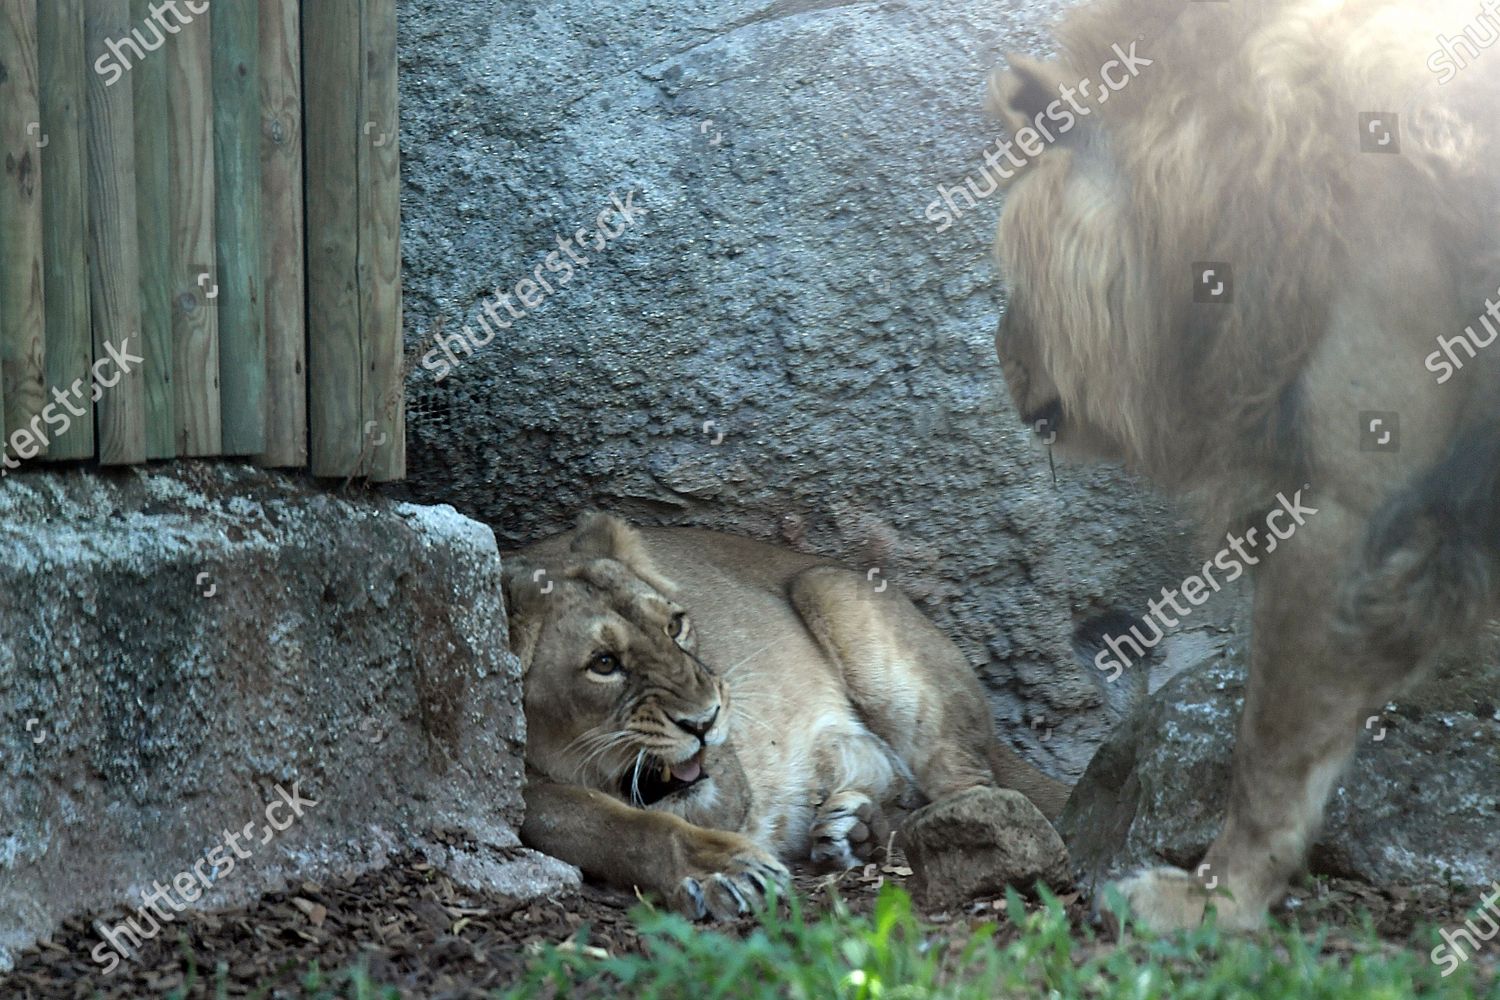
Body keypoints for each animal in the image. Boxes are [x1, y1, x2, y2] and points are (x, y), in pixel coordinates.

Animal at [502, 513, 1070, 919]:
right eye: (603, 664)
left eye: (675, 626)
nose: (705, 721)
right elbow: (606, 823)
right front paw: (723, 869)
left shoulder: (729, 782)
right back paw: (853, 829)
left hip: (829, 587)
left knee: (976, 790)